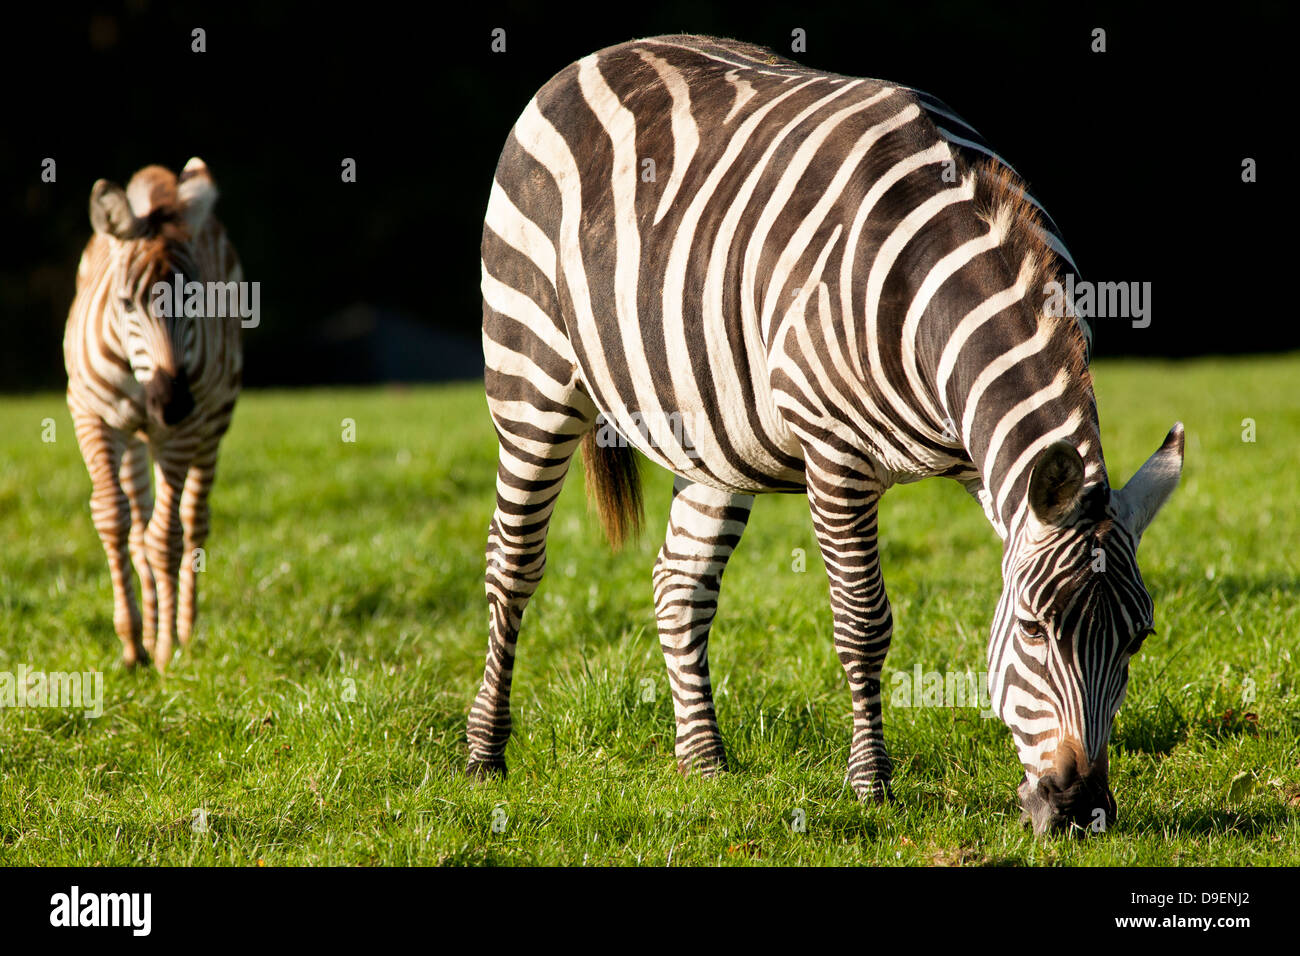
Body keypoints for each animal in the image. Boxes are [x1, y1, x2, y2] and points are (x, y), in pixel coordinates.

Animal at [64, 158, 243, 673]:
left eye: (197, 300)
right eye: (126, 303)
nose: (171, 403)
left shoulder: (181, 434)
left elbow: (168, 536)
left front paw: (165, 652)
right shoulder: (91, 415)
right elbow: (113, 518)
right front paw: (132, 644)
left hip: (213, 423)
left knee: (193, 521)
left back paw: (184, 630)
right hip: (134, 439)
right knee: (138, 527)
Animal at [468, 35, 1183, 834]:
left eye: (1140, 638)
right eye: (1033, 629)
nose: (1082, 810)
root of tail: (596, 56)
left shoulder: (984, 460)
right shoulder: (836, 455)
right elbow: (863, 623)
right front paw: (871, 785)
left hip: (709, 429)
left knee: (678, 583)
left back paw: (704, 763)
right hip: (531, 372)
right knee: (512, 564)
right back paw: (485, 757)